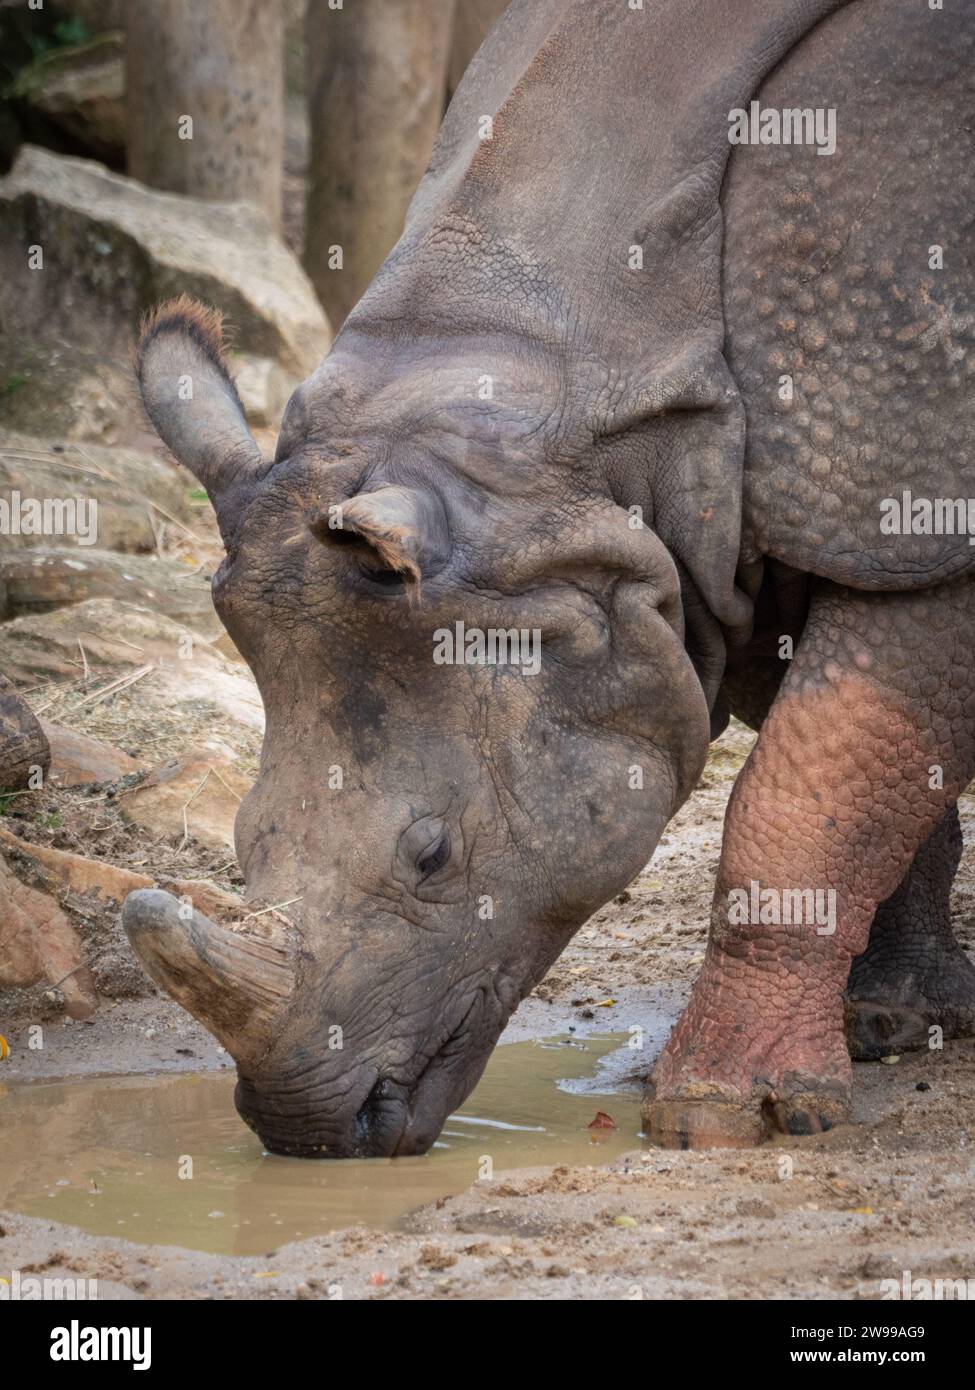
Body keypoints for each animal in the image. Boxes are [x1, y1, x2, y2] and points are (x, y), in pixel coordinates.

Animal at [124, 0, 975, 1155]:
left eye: (432, 856)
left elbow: (801, 792)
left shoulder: (914, 480)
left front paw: (728, 1114)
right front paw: (891, 1023)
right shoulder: (741, 523)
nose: (310, 1126)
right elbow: (868, 768)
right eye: (244, 840)